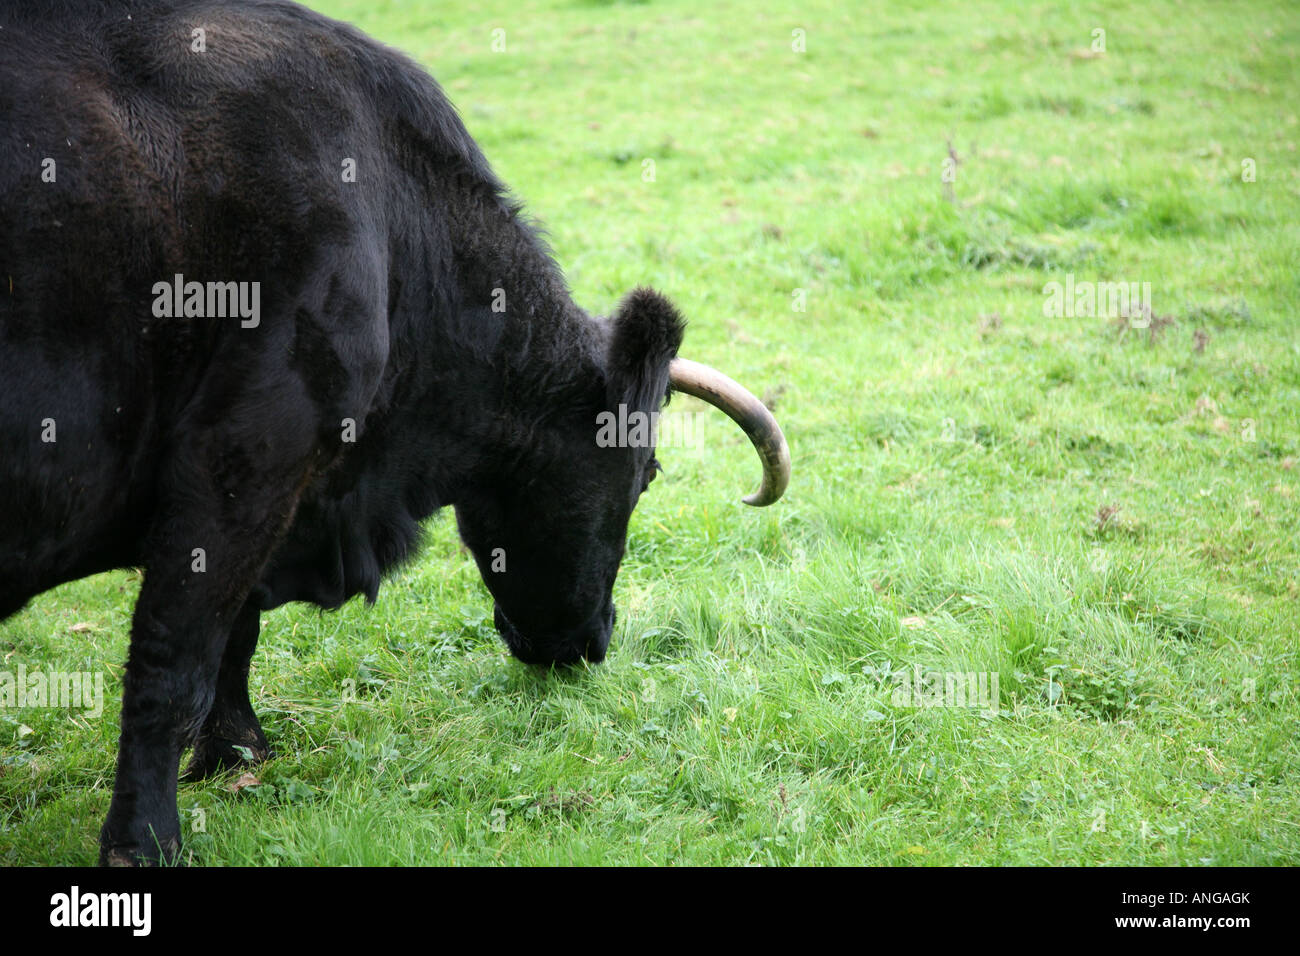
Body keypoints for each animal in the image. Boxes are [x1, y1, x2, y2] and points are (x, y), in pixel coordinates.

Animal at [0, 0, 789, 865]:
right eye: (647, 473)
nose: (594, 643)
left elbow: (234, 633)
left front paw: (238, 751)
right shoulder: (246, 458)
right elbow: (174, 661)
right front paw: (144, 840)